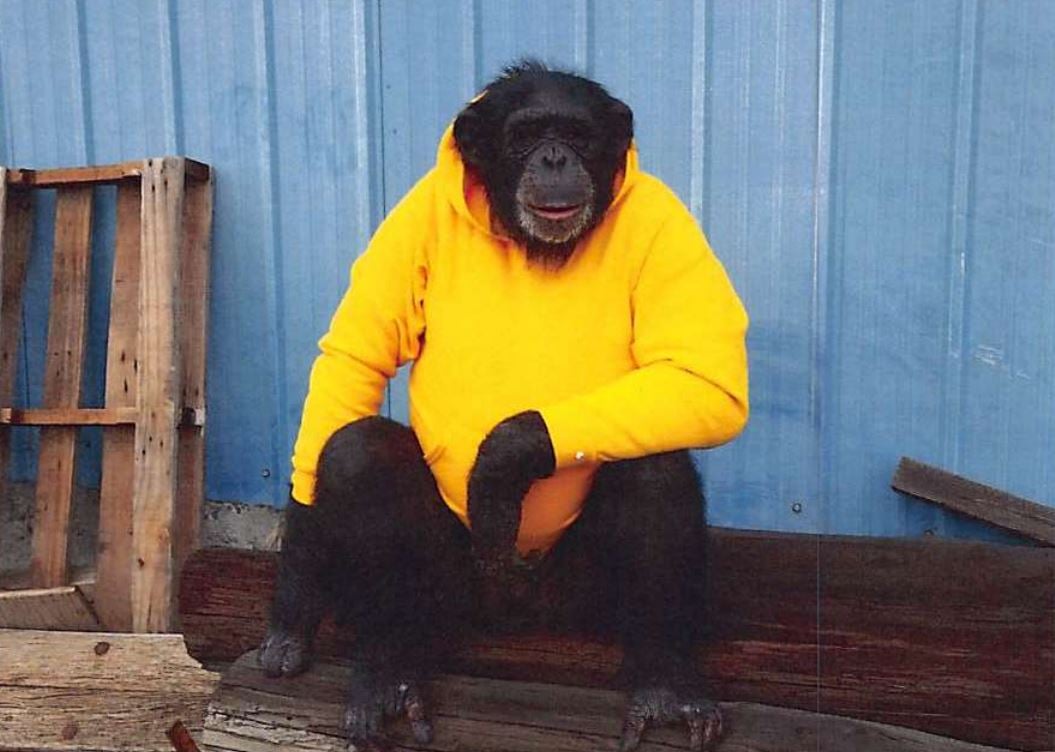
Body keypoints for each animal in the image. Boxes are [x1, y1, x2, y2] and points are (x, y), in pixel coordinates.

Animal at [259, 60, 749, 752]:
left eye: (575, 132)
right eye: (526, 135)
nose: (553, 157)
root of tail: (512, 611)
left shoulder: (667, 220)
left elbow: (704, 371)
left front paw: (504, 460)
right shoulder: (413, 216)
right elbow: (353, 359)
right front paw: (296, 597)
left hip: (573, 602)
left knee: (653, 464)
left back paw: (664, 685)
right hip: (454, 591)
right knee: (359, 453)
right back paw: (388, 669)